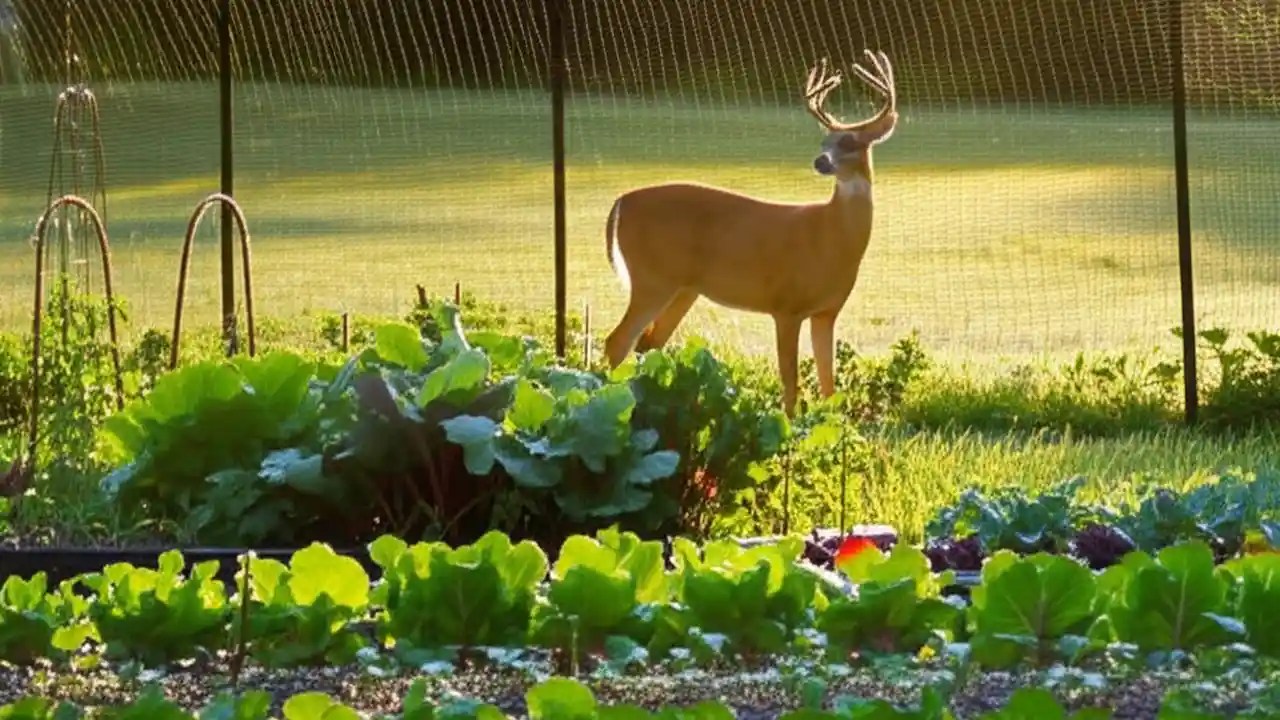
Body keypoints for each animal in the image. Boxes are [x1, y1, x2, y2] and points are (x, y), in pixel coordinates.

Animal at [601, 49, 899, 417]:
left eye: (850, 140)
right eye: (824, 140)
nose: (820, 161)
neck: (831, 238)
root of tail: (620, 202)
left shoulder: (827, 311)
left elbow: (828, 383)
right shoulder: (786, 304)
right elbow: (790, 378)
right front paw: (790, 422)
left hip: (683, 289)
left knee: (647, 343)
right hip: (652, 278)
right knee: (618, 341)